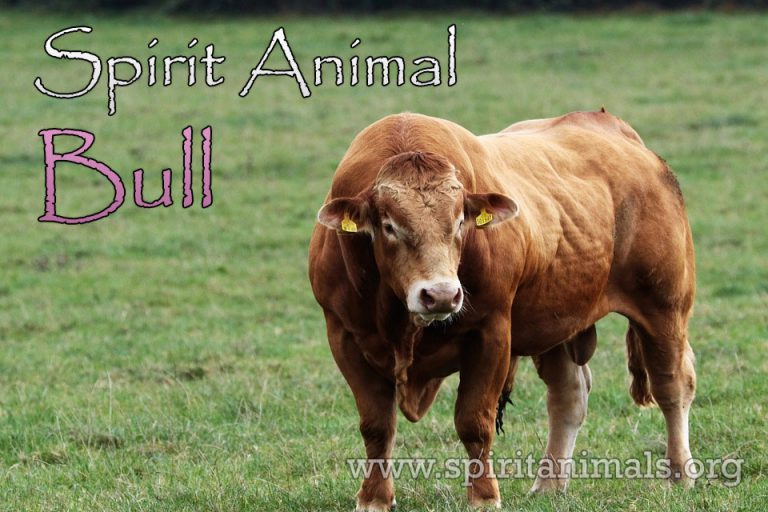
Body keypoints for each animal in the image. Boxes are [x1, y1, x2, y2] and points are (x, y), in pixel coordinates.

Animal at [308, 110, 696, 511]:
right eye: (389, 226)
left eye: (460, 221)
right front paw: (374, 497)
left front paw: (483, 495)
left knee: (672, 385)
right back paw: (550, 482)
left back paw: (679, 474)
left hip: (663, 306)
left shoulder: (491, 333)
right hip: (554, 321)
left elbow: (473, 422)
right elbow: (376, 425)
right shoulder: (344, 336)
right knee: (569, 395)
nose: (441, 295)